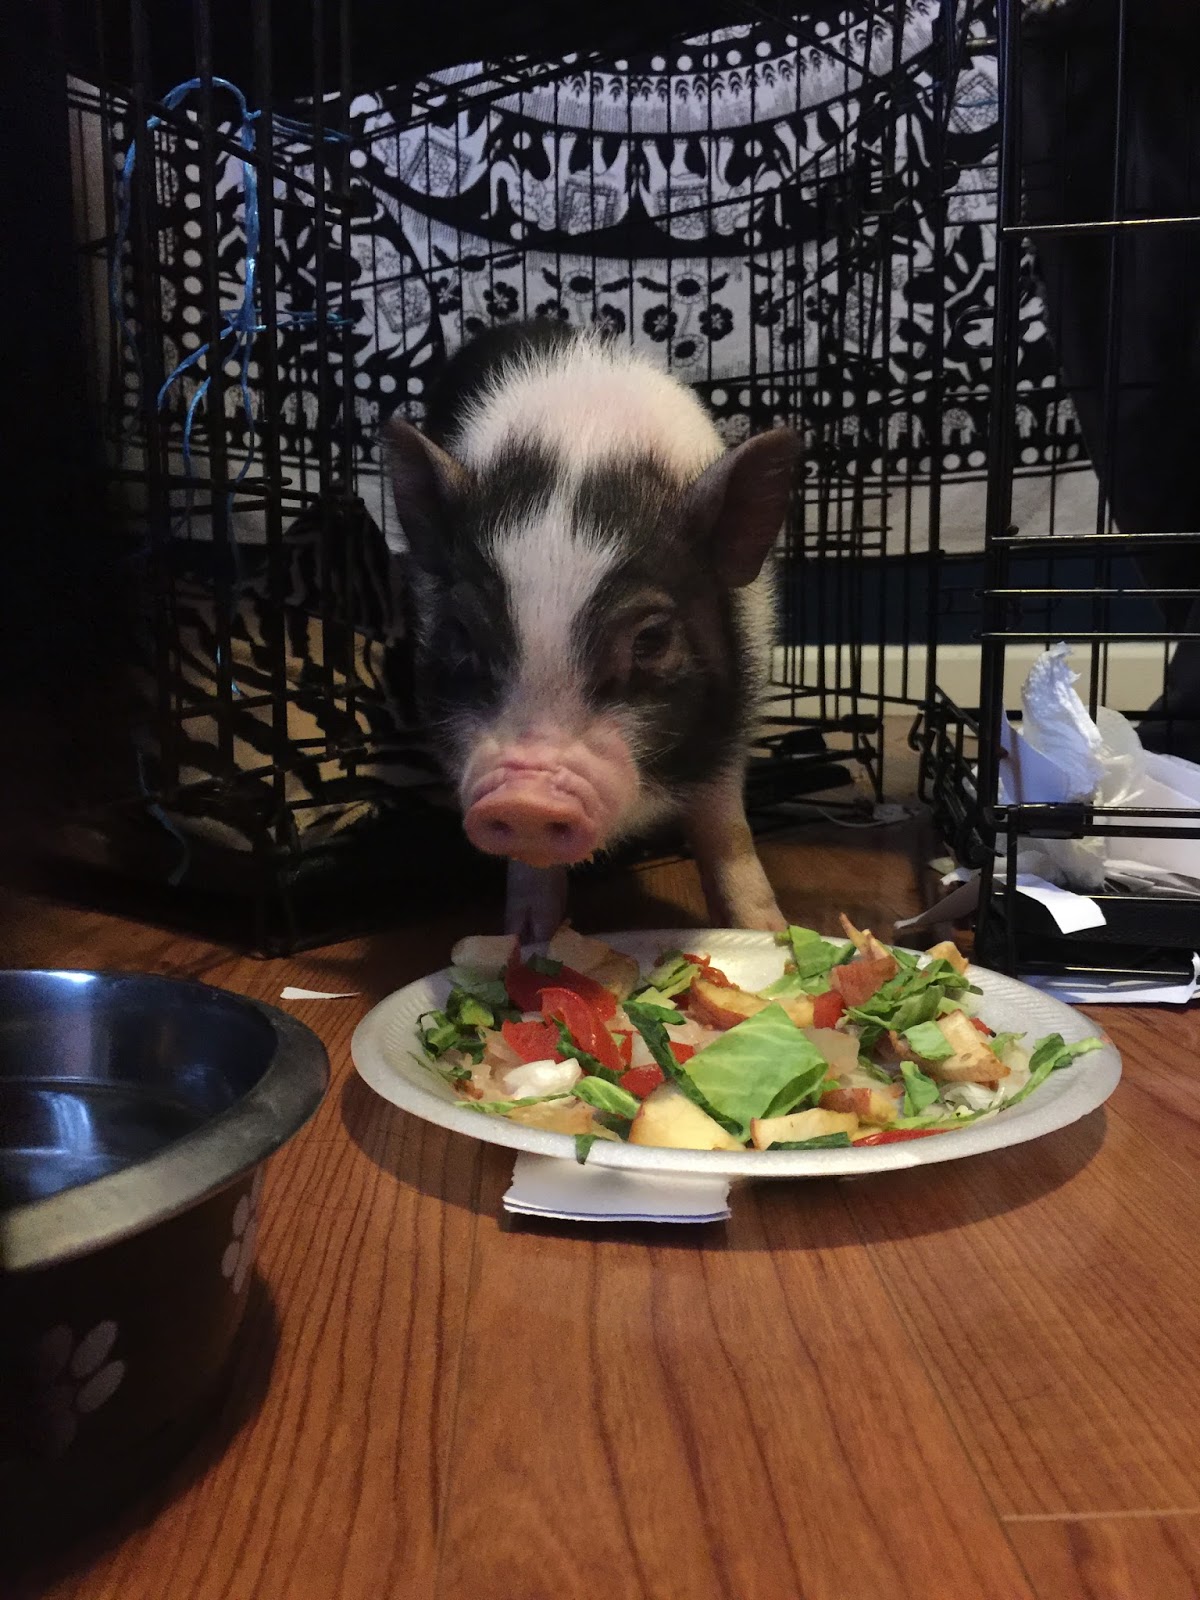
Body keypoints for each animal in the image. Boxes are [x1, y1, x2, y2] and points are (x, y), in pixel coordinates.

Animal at [382, 320, 799, 940]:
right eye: (460, 635)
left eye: (652, 640)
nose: (524, 802)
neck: (582, 449)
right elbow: (531, 869)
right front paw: (528, 941)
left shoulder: (733, 713)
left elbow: (726, 828)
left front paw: (770, 934)